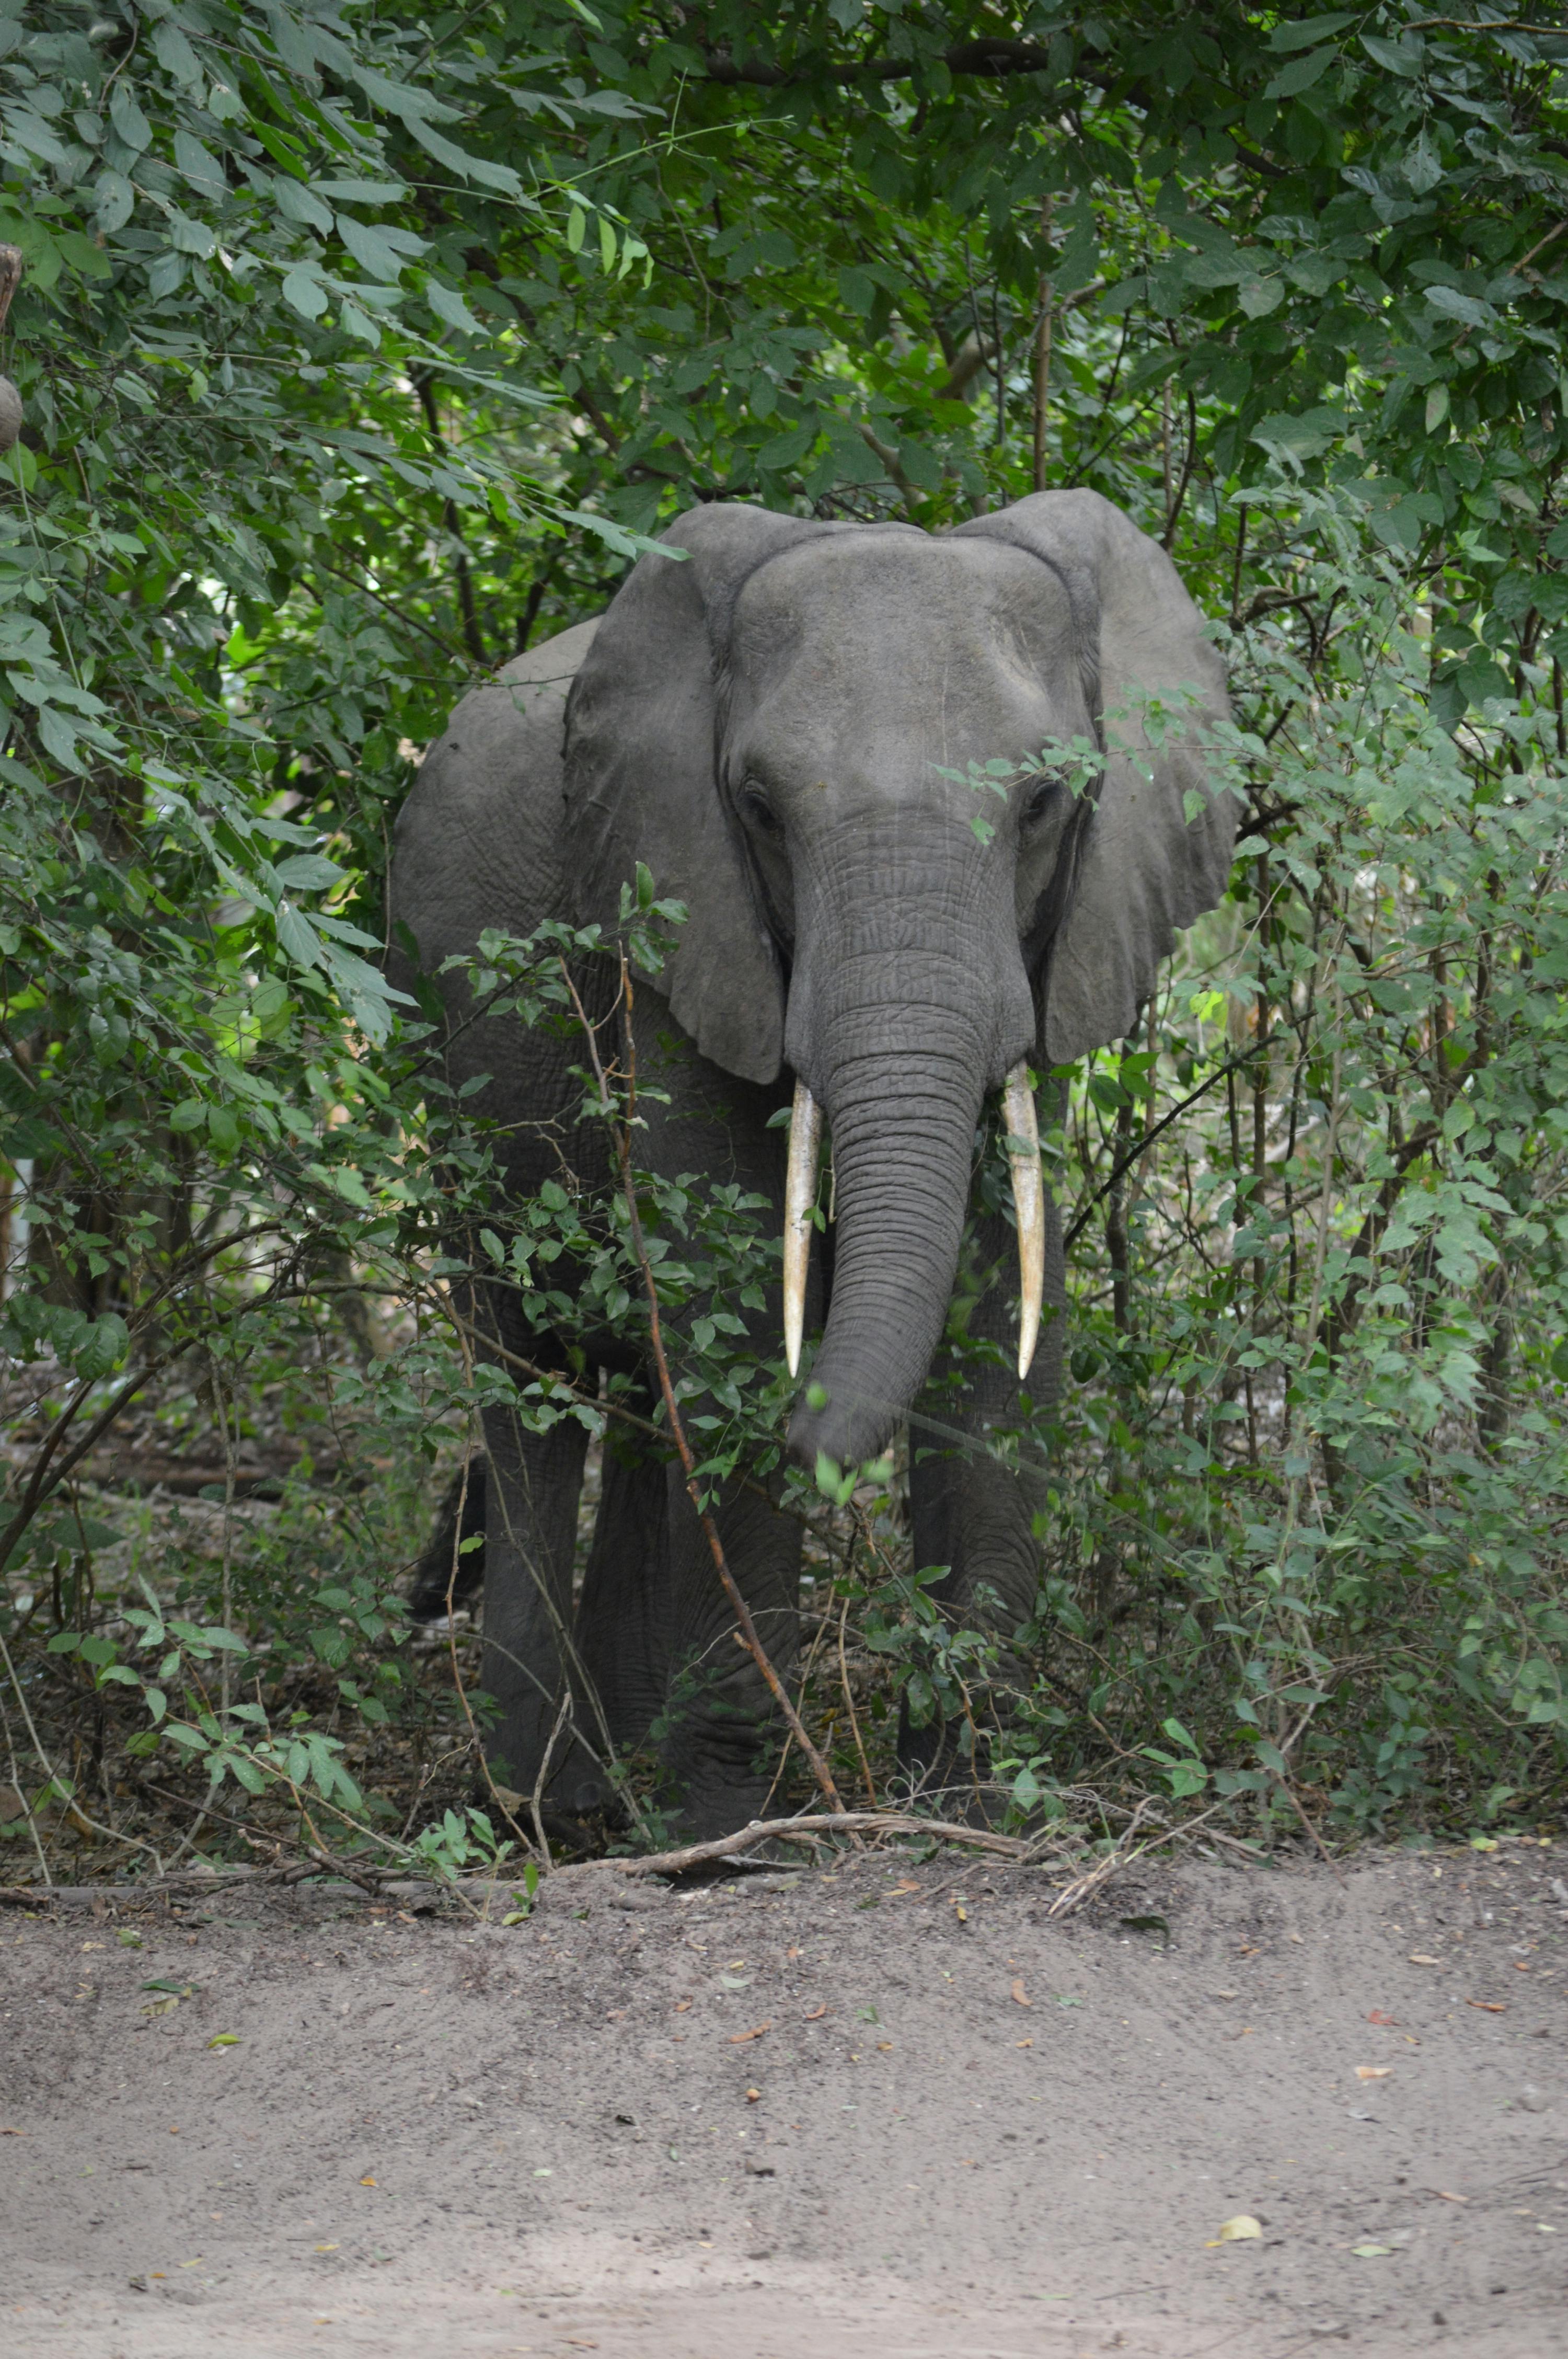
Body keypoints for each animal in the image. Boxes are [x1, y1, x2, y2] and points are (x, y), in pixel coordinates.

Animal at [390, 489, 1233, 1837]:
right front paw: (734, 1831)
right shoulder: (668, 908)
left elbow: (1000, 1304)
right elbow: (727, 1280)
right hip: (442, 1034)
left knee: (630, 1394)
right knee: (533, 1378)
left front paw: (960, 1805)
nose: (424, 1581)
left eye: (1046, 803)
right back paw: (554, 1809)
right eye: (758, 804)